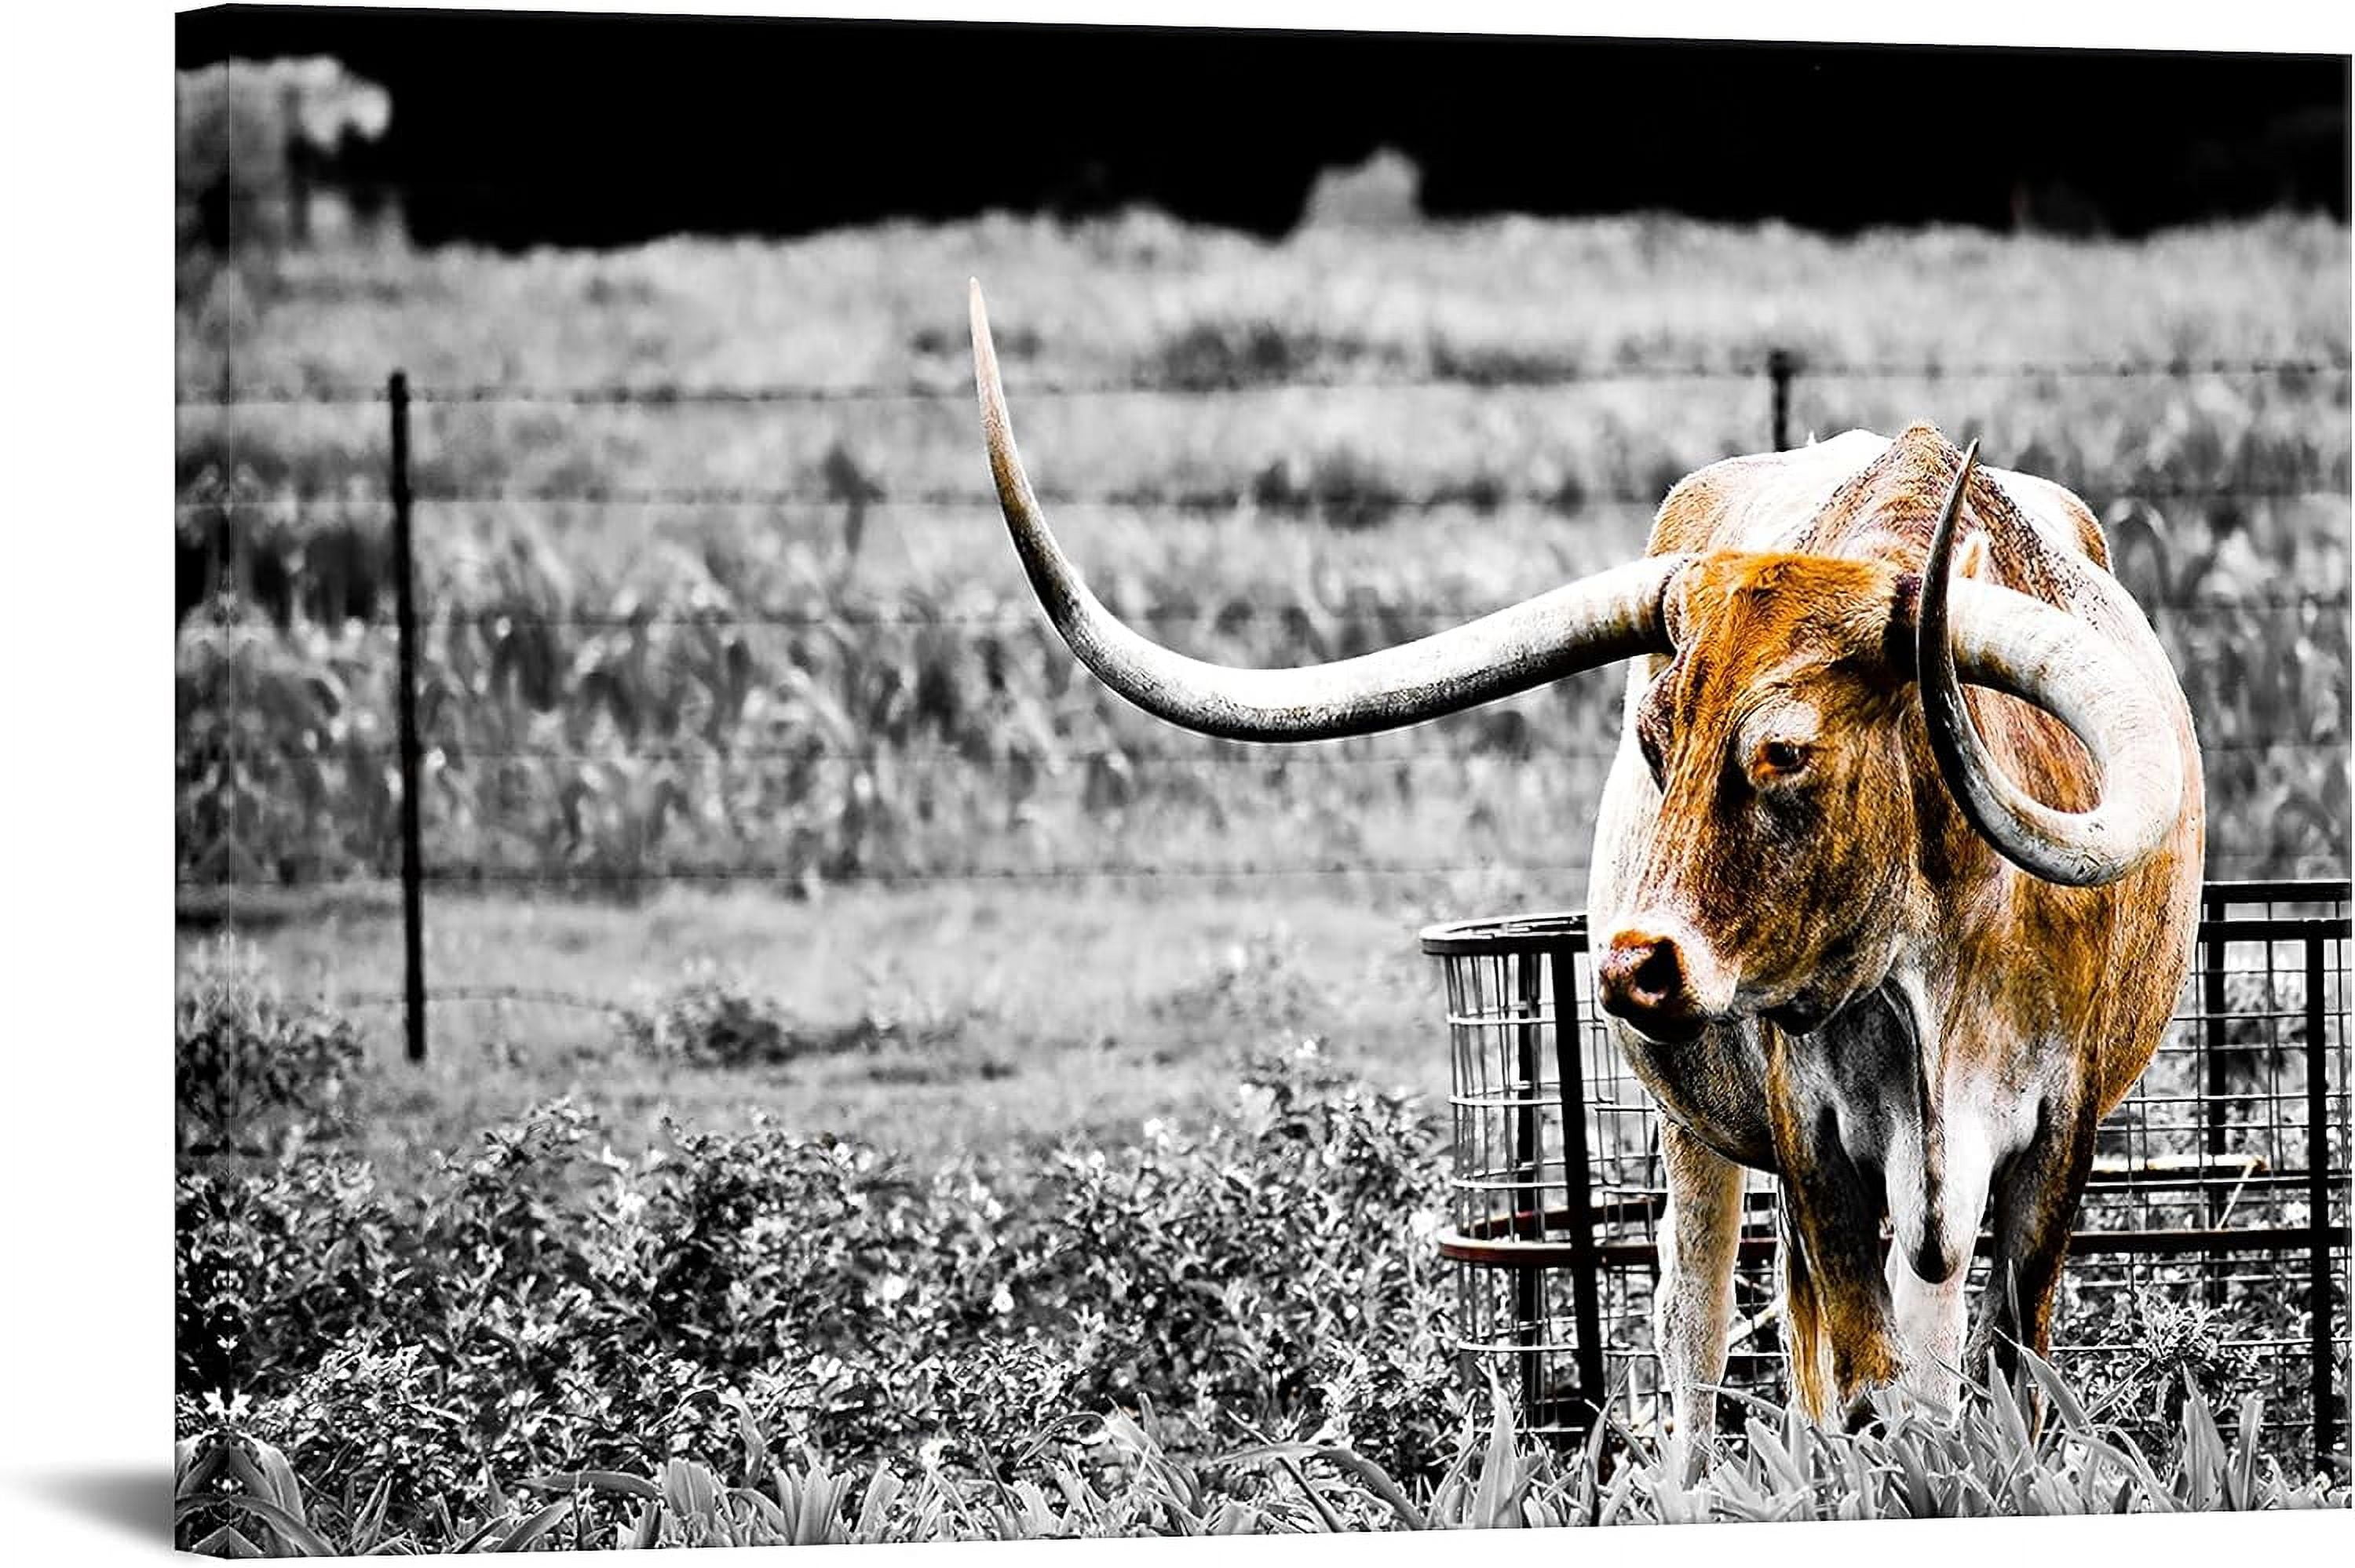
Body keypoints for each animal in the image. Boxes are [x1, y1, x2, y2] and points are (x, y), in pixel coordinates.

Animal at [965, 282, 2205, 1438]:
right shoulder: (1817, 1145)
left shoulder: (2057, 1145)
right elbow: (1858, 1385)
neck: (1927, 966)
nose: (1631, 966)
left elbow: (2005, 1374)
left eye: (1786, 749)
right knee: (1702, 1335)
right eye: (1654, 737)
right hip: (1699, 1134)